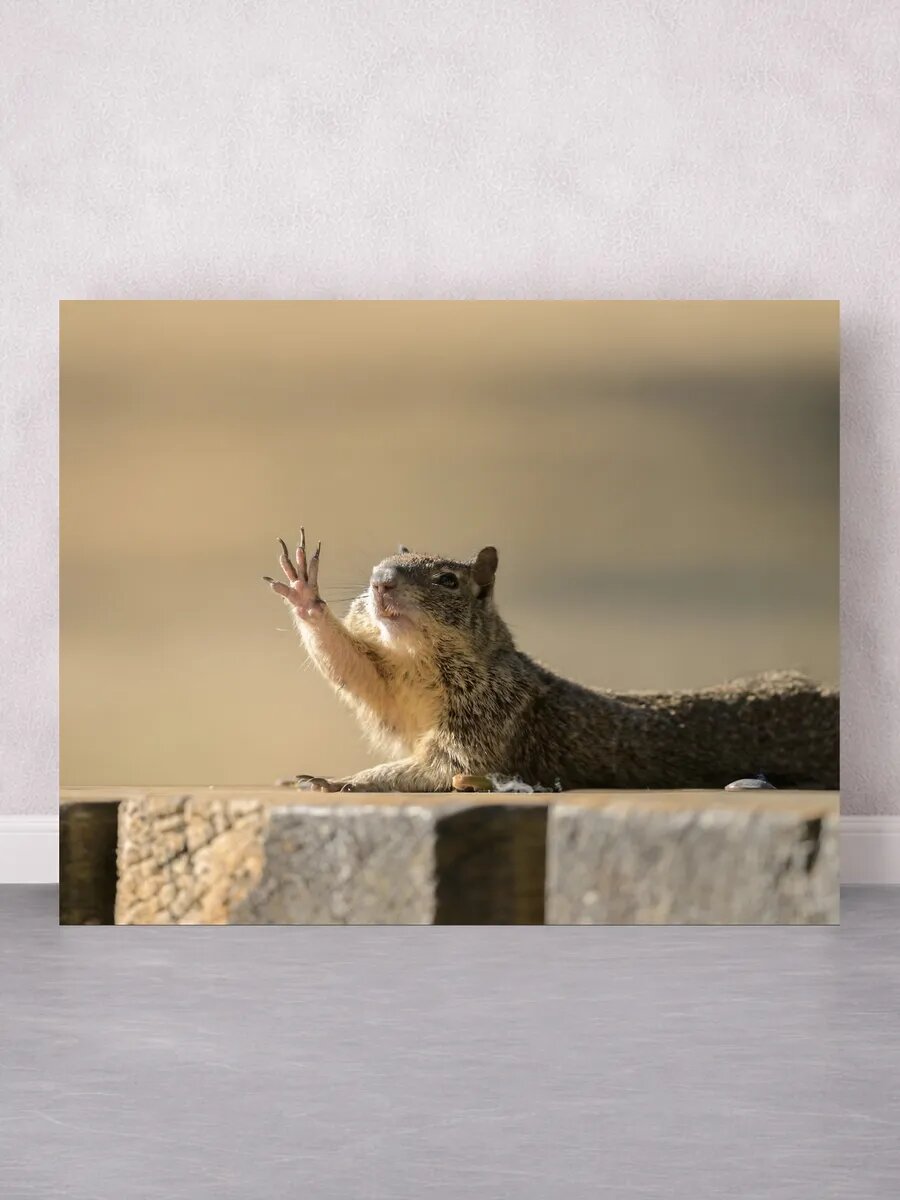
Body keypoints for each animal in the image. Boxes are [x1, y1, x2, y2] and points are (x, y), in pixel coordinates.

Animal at [264, 531, 839, 793]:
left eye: (448, 580)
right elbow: (350, 667)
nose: (381, 583)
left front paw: (341, 781)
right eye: (375, 569)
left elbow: (437, 768)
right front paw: (306, 595)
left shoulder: (489, 717)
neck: (421, 664)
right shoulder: (387, 685)